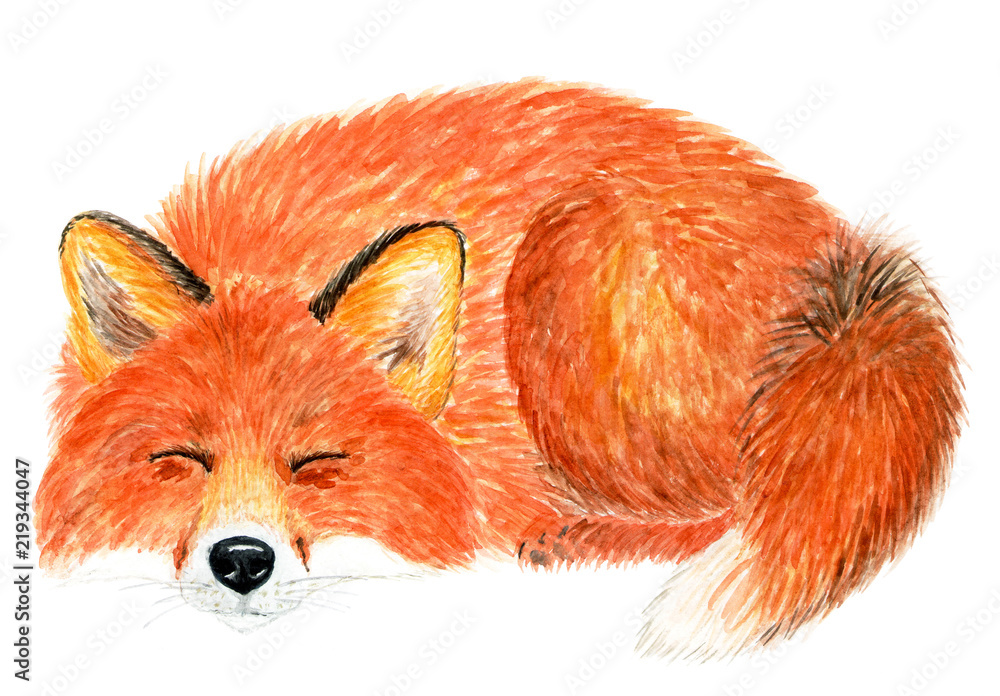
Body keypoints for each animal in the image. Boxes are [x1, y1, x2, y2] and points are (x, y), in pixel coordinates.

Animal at [36, 80, 964, 657]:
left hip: (571, 273)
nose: (241, 560)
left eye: (318, 463)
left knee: (739, 498)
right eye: (180, 460)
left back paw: (585, 540)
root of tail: (838, 258)